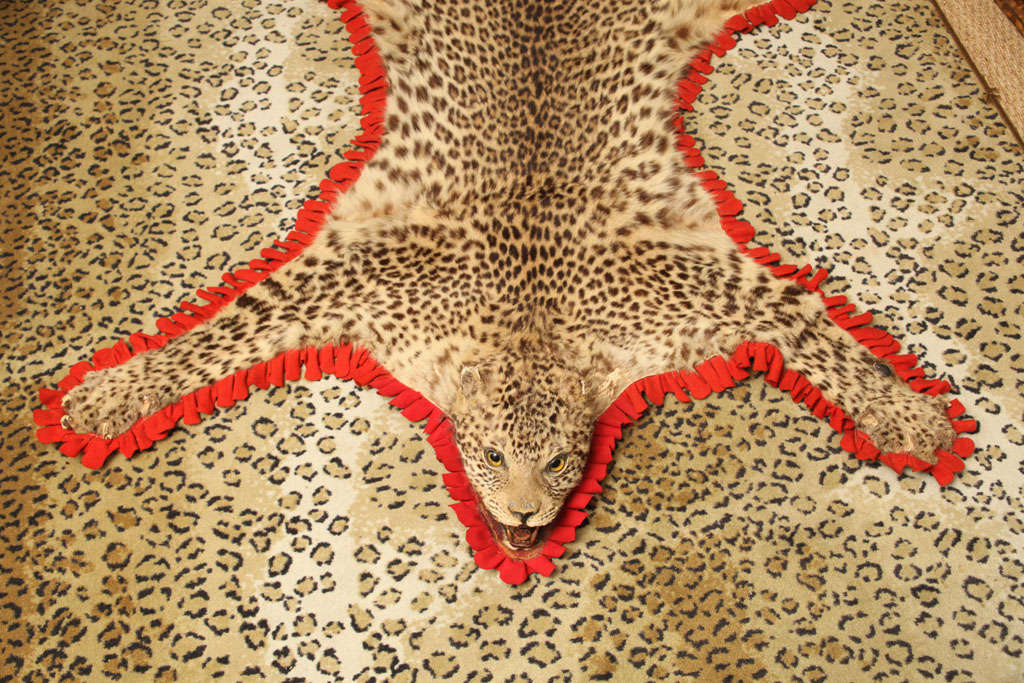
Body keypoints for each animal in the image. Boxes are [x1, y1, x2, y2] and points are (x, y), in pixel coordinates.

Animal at [61, 0, 955, 559]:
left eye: (561, 462)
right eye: (488, 455)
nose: (524, 513)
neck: (528, 329)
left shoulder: (719, 285)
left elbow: (823, 334)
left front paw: (908, 413)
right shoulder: (343, 278)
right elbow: (212, 338)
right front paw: (109, 394)